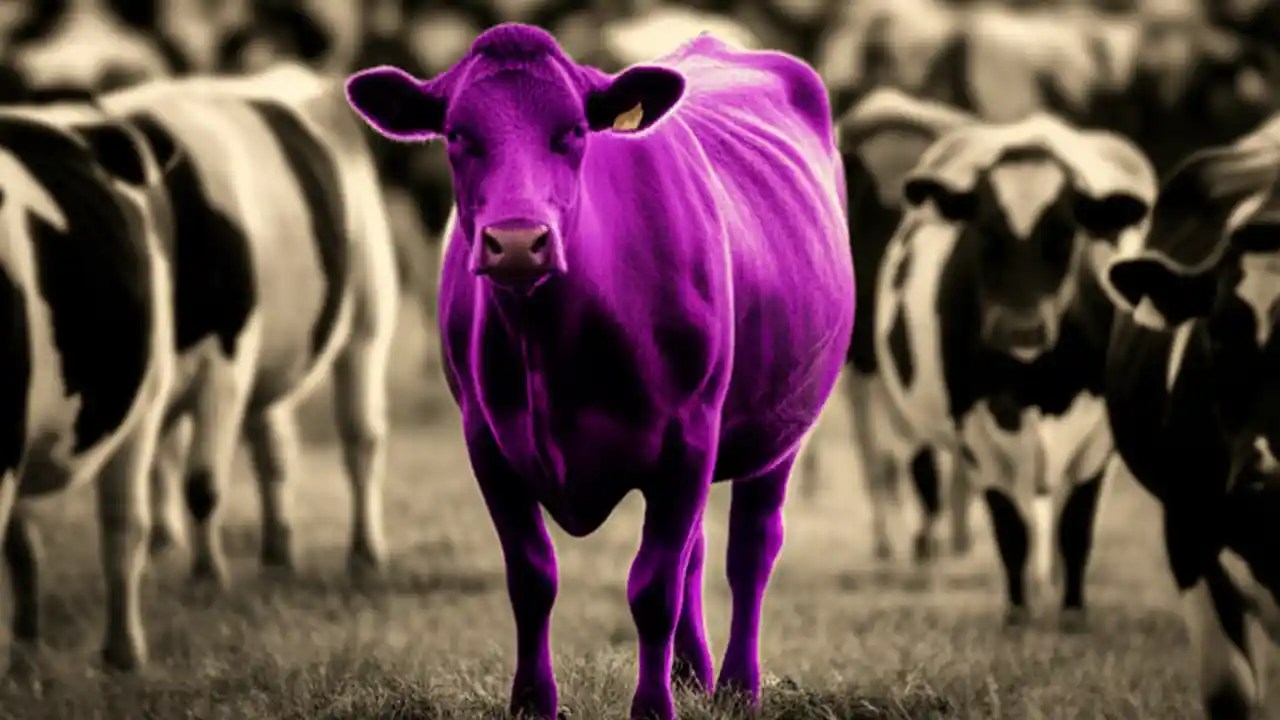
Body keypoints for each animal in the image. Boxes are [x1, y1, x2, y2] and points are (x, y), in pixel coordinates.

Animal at [90, 63, 399, 585]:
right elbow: (153, 472)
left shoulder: (226, 364)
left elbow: (202, 481)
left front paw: (207, 573)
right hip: (273, 354)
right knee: (272, 449)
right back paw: (276, 548)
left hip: (366, 323)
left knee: (362, 438)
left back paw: (365, 550)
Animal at [345, 23, 853, 720]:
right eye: (457, 134)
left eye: (574, 132)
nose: (516, 240)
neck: (552, 347)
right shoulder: (487, 440)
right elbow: (532, 574)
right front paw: (533, 701)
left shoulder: (688, 436)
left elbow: (653, 587)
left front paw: (653, 707)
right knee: (696, 551)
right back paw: (690, 672)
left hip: (782, 427)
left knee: (749, 548)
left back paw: (735, 685)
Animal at [838, 89, 1156, 628]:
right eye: (984, 232)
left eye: (1066, 235)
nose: (1019, 329)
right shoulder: (972, 422)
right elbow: (1009, 524)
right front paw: (1017, 609)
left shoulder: (1099, 436)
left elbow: (1076, 525)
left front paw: (1072, 610)